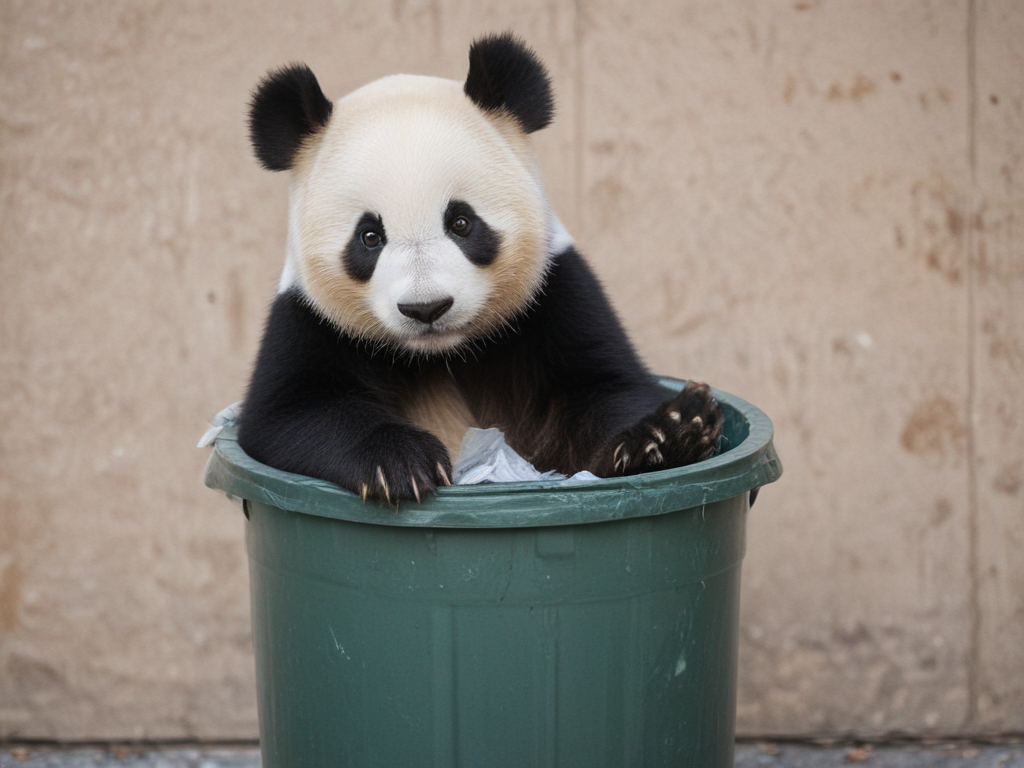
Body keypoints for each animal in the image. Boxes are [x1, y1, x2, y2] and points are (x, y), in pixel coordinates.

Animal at [238, 33, 723, 505]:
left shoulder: (555, 293)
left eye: (461, 222)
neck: (442, 353)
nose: (426, 308)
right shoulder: (309, 319)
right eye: (369, 236)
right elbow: (290, 414)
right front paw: (399, 462)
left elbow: (603, 388)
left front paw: (671, 434)